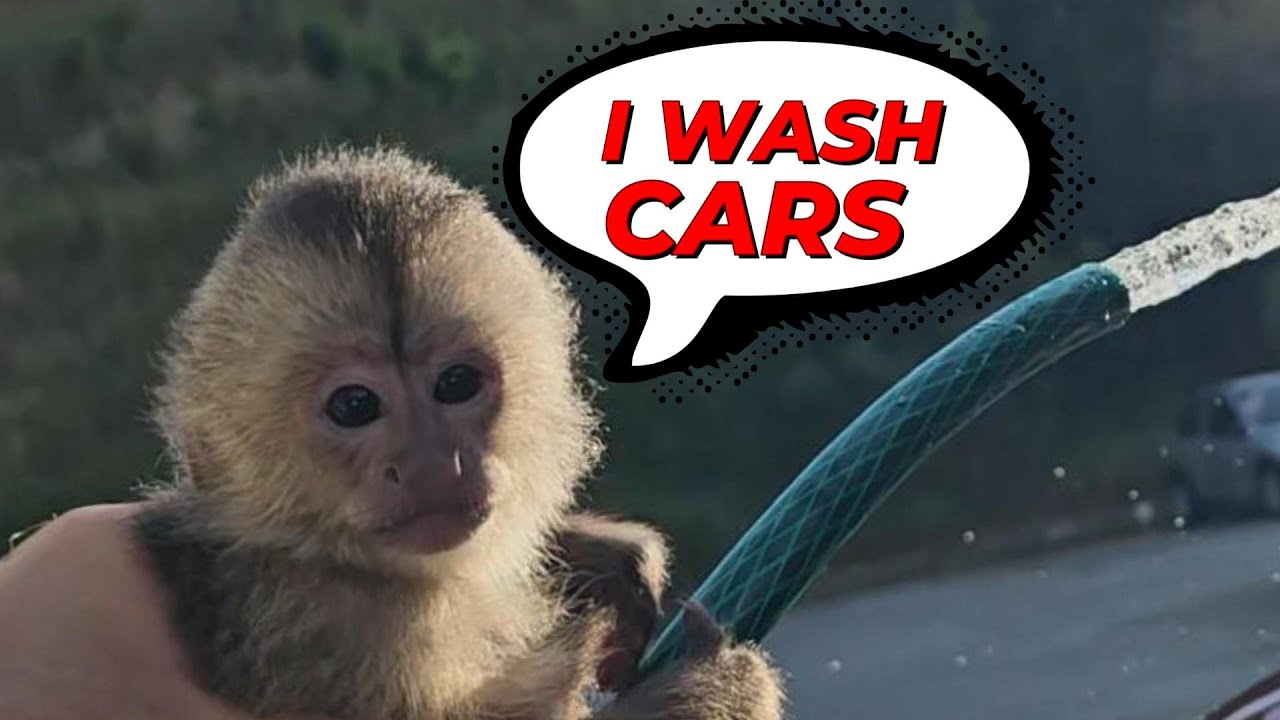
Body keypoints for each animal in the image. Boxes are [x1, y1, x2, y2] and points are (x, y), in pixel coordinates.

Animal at [132, 146, 785, 720]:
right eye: (353, 405)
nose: (431, 462)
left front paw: (591, 559)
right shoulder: (335, 628)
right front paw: (716, 686)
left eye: (456, 383)